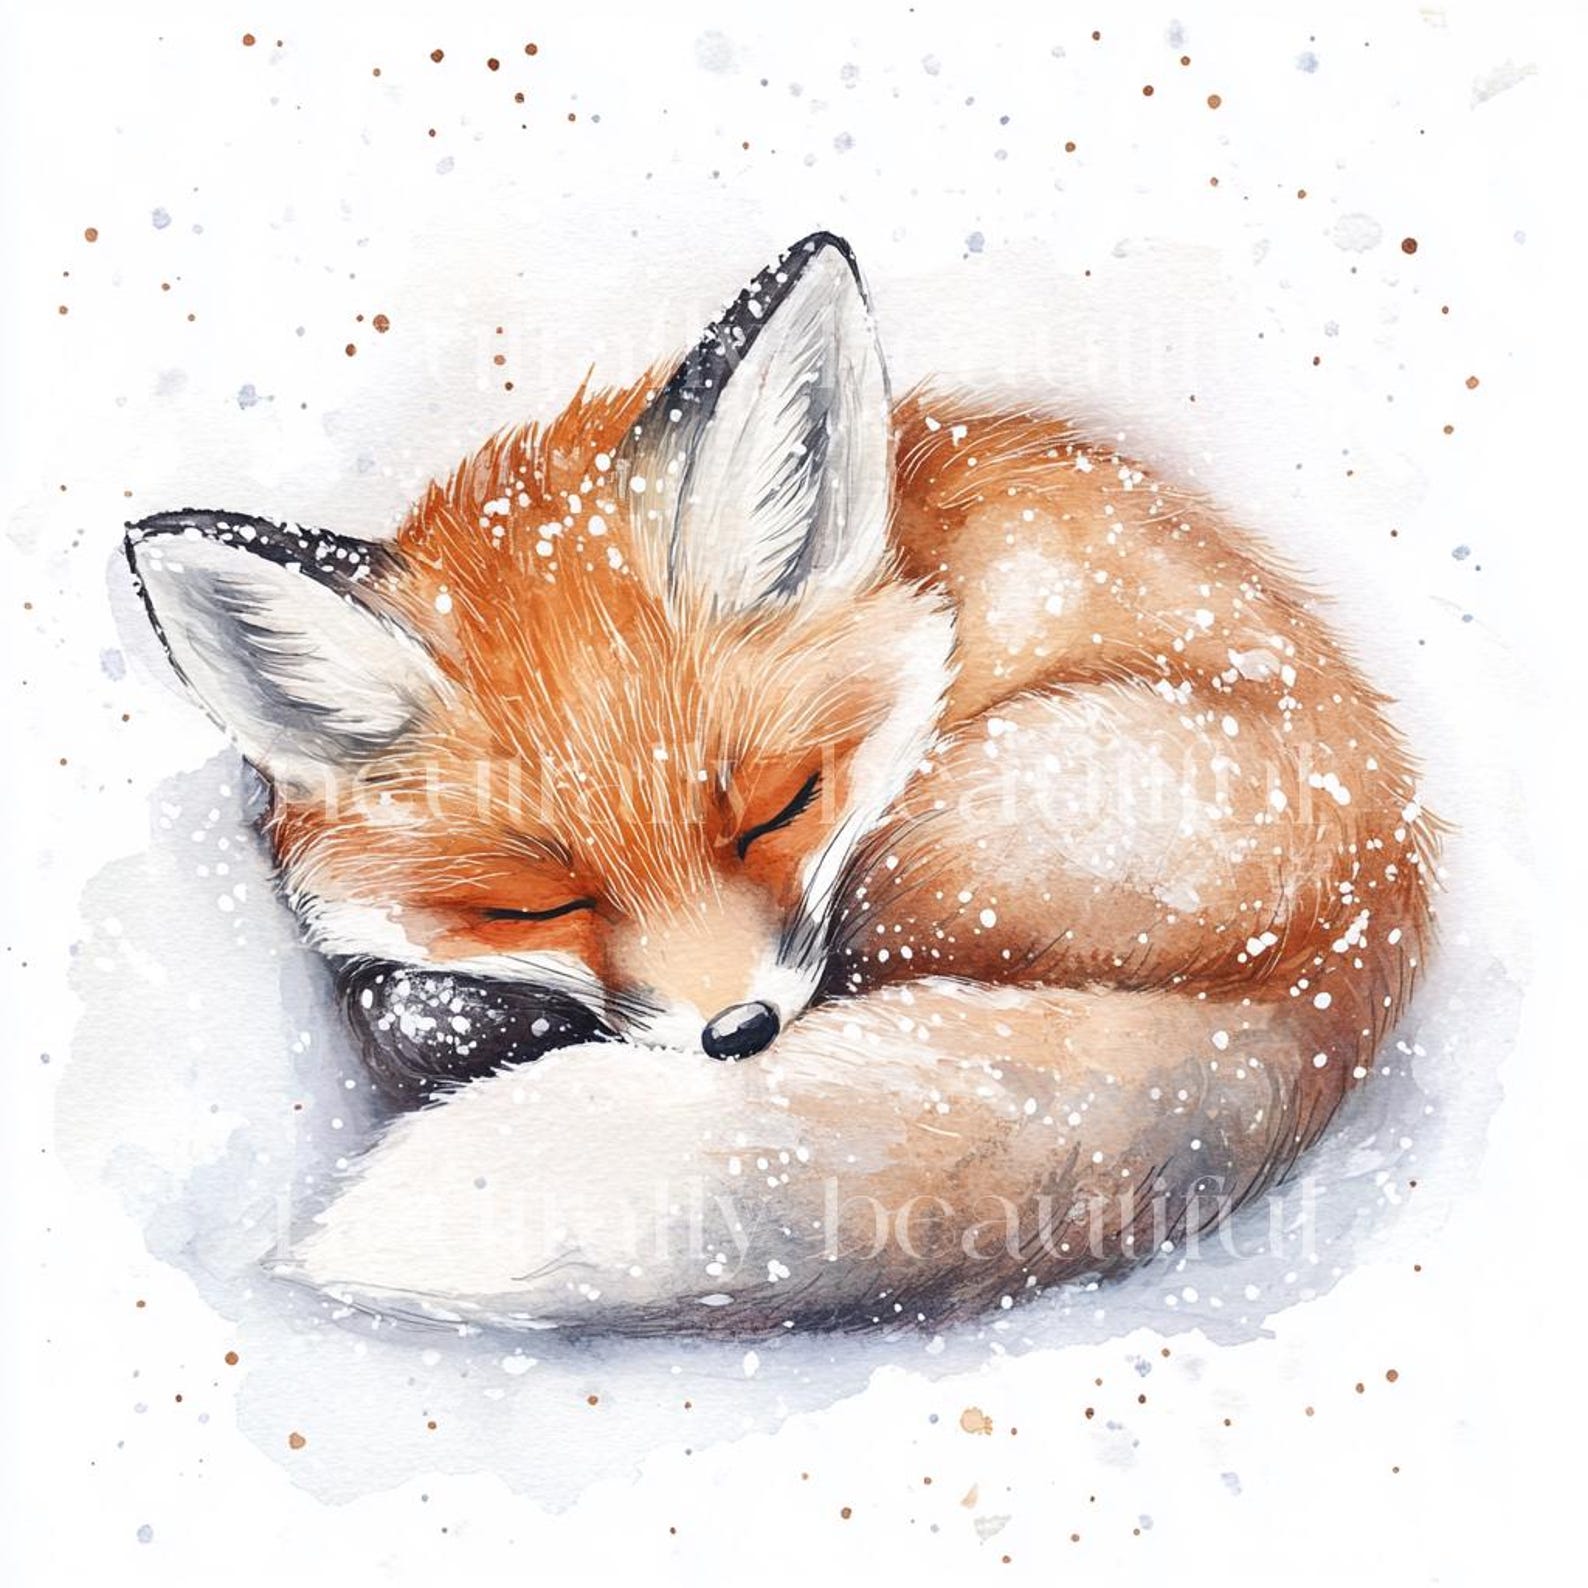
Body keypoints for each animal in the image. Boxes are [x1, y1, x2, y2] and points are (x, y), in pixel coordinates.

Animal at [124, 232, 1436, 1334]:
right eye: (537, 903)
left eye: (778, 806)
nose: (739, 1032)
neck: (929, 574)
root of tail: (1348, 968)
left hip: (952, 830)